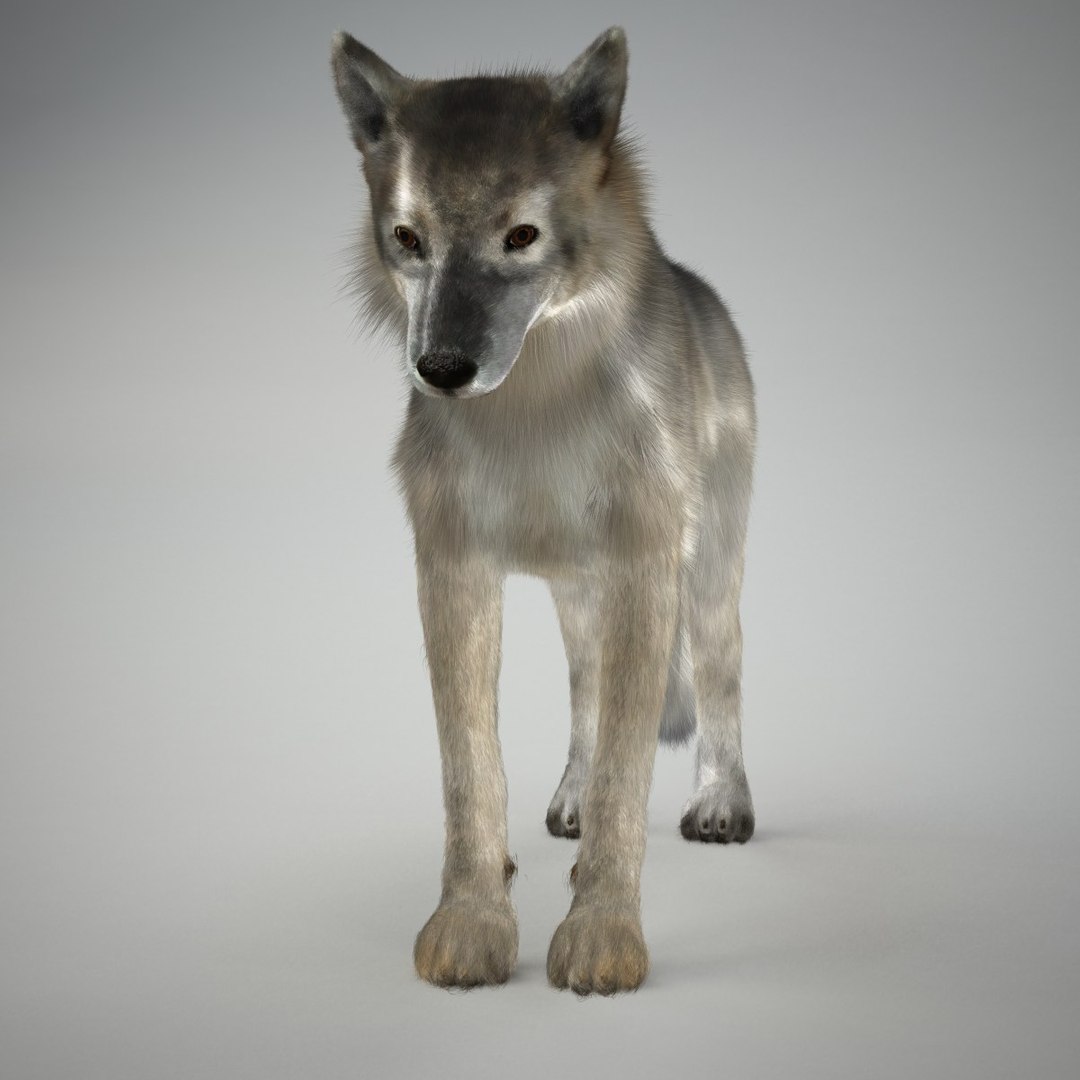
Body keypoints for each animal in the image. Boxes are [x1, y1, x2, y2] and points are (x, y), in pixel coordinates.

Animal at [331, 26, 756, 995]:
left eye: (520, 236)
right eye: (409, 238)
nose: (441, 368)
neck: (532, 416)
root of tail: (704, 296)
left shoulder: (642, 569)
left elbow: (628, 777)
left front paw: (601, 936)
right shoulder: (451, 570)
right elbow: (470, 771)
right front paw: (471, 921)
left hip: (705, 576)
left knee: (718, 679)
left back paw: (721, 803)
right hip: (576, 593)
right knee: (585, 692)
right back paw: (567, 802)